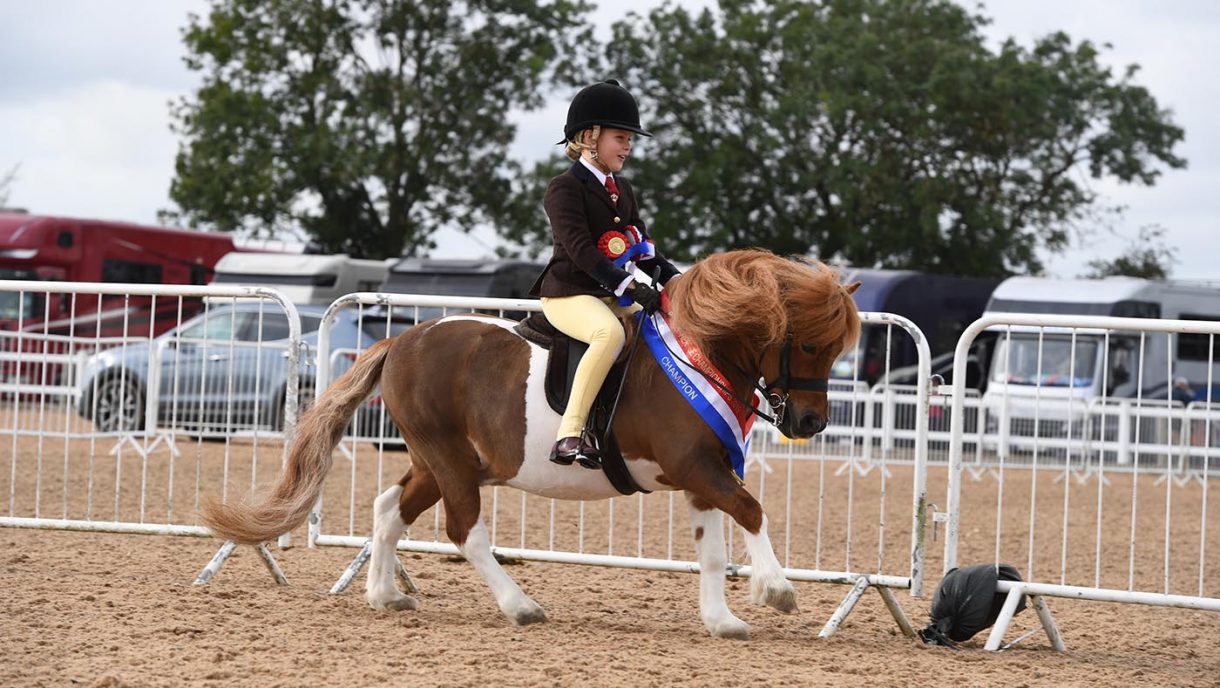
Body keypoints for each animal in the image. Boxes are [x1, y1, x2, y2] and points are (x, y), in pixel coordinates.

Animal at [202, 249, 861, 639]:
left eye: (835, 350)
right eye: (807, 344)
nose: (810, 424)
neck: (698, 356)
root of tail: (402, 340)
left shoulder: (702, 475)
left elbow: (715, 548)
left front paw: (722, 619)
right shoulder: (696, 466)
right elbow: (752, 510)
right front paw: (776, 591)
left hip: (439, 462)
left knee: (390, 509)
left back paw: (386, 596)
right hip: (449, 461)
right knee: (464, 532)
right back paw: (519, 606)